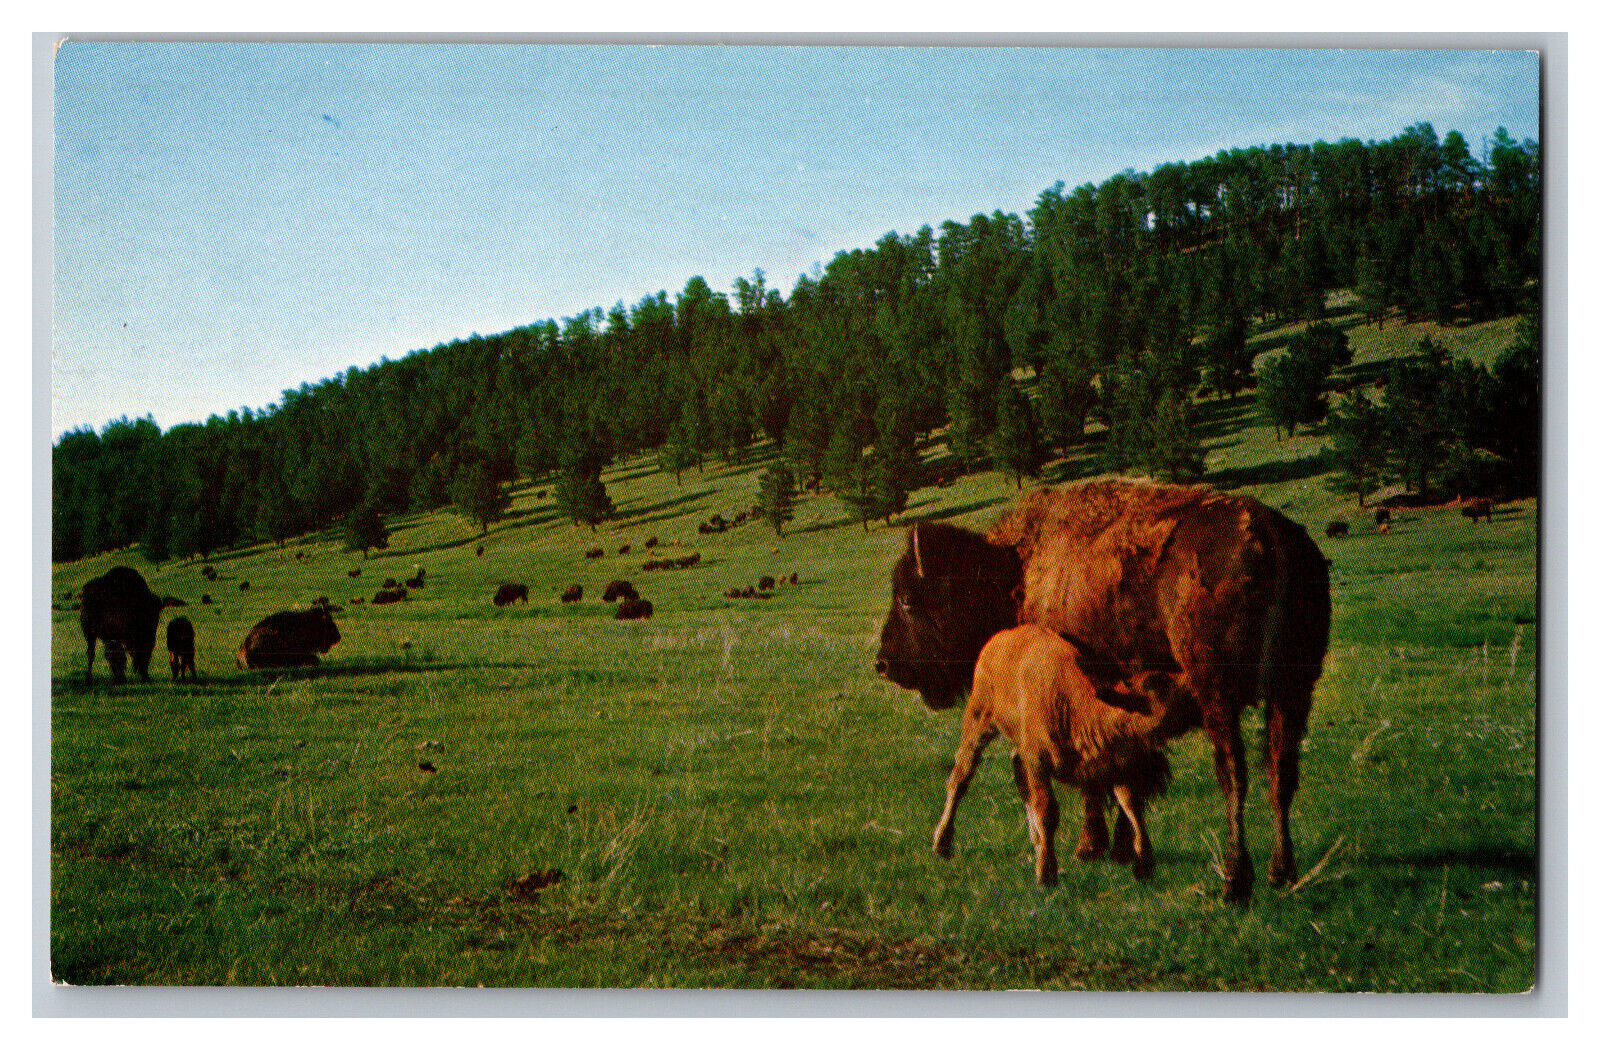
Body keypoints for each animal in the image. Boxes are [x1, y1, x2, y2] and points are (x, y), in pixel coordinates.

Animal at [876, 480, 1330, 903]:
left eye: (908, 600)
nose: (883, 663)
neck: (1012, 569)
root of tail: (1268, 535)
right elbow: (1122, 776)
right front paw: (1121, 849)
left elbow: (1095, 783)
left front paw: (1090, 848)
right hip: (1293, 690)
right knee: (1281, 771)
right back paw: (1281, 871)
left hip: (1217, 694)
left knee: (1233, 772)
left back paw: (1235, 881)